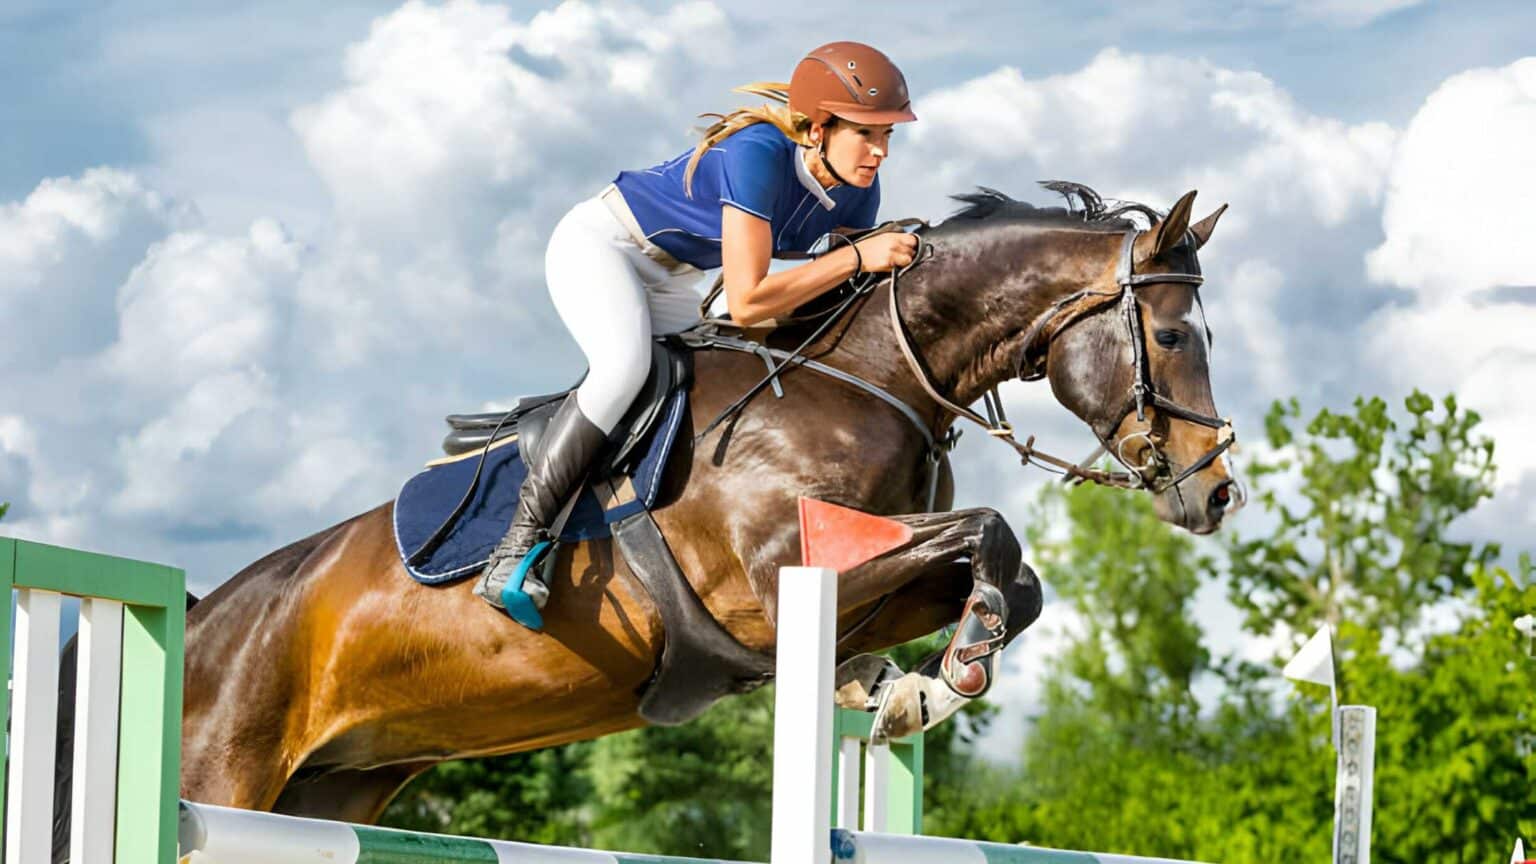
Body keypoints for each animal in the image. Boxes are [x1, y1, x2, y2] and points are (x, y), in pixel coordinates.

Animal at [172, 182, 1237, 823]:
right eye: (1175, 335)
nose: (1217, 491)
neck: (868, 374)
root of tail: (203, 615)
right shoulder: (776, 578)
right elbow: (992, 532)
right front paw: (949, 670)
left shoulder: (875, 577)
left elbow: (1011, 580)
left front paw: (905, 690)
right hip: (224, 774)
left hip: (338, 787)